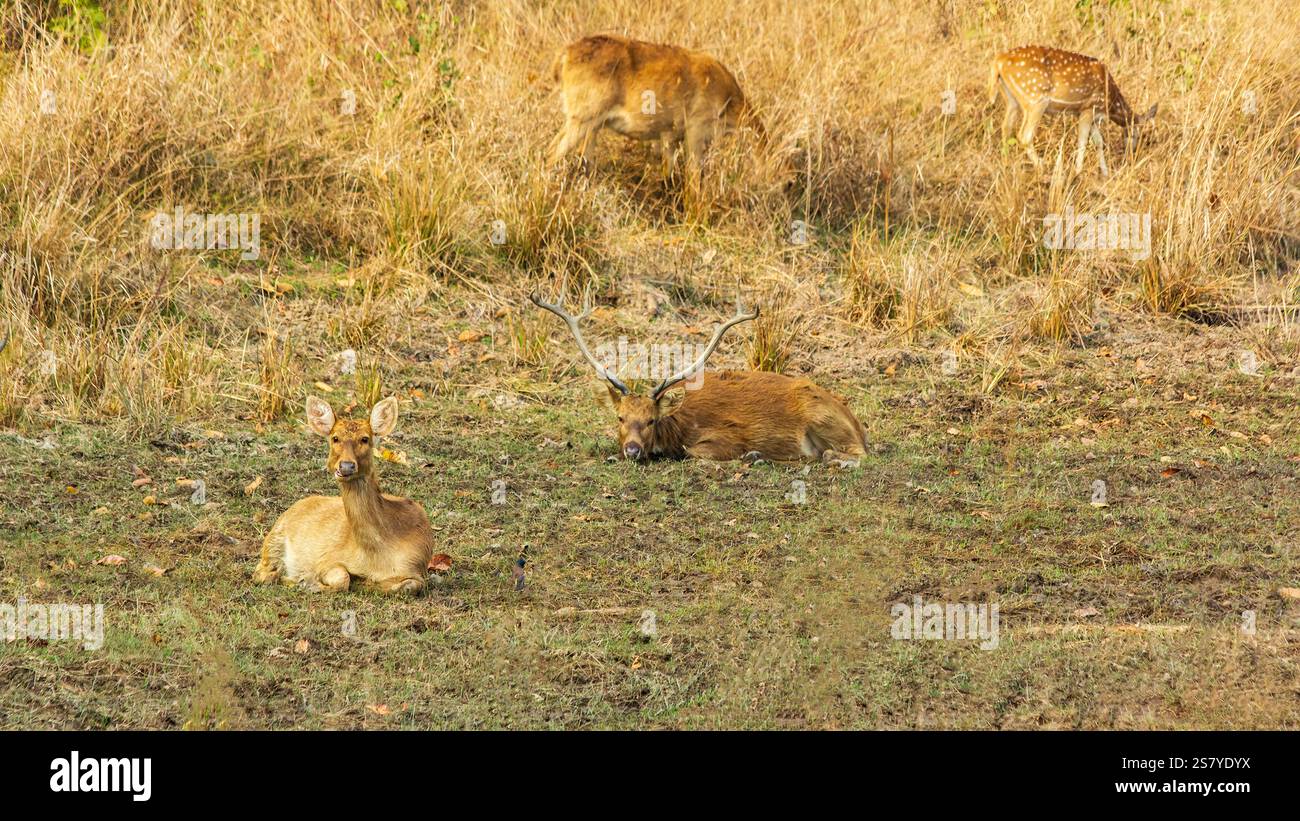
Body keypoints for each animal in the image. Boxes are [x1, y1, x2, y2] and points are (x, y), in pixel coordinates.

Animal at [253, 396, 433, 595]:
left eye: (365, 439)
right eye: (335, 438)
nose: (346, 466)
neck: (378, 558)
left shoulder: (417, 565)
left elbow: (409, 585)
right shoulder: (327, 559)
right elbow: (342, 578)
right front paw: (308, 581)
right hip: (274, 539)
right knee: (261, 573)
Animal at [530, 291, 867, 464]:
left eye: (651, 420)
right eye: (620, 418)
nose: (633, 449)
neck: (678, 429)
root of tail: (859, 426)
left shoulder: (728, 434)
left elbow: (695, 452)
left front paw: (748, 454)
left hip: (821, 416)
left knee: (851, 453)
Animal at [549, 34, 780, 182]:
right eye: (786, 182)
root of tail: (567, 53)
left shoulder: (670, 136)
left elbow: (668, 172)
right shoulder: (695, 133)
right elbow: (694, 176)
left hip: (592, 127)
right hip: (580, 121)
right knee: (551, 153)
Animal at [989, 45, 1157, 177]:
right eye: (1137, 135)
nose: (1132, 155)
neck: (1110, 102)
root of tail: (998, 61)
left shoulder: (1086, 113)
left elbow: (1099, 141)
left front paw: (1105, 173)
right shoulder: (1089, 107)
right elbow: (1083, 140)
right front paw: (1078, 171)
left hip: (1011, 98)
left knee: (1006, 127)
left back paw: (1006, 162)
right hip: (1035, 99)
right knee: (1024, 135)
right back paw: (1043, 167)